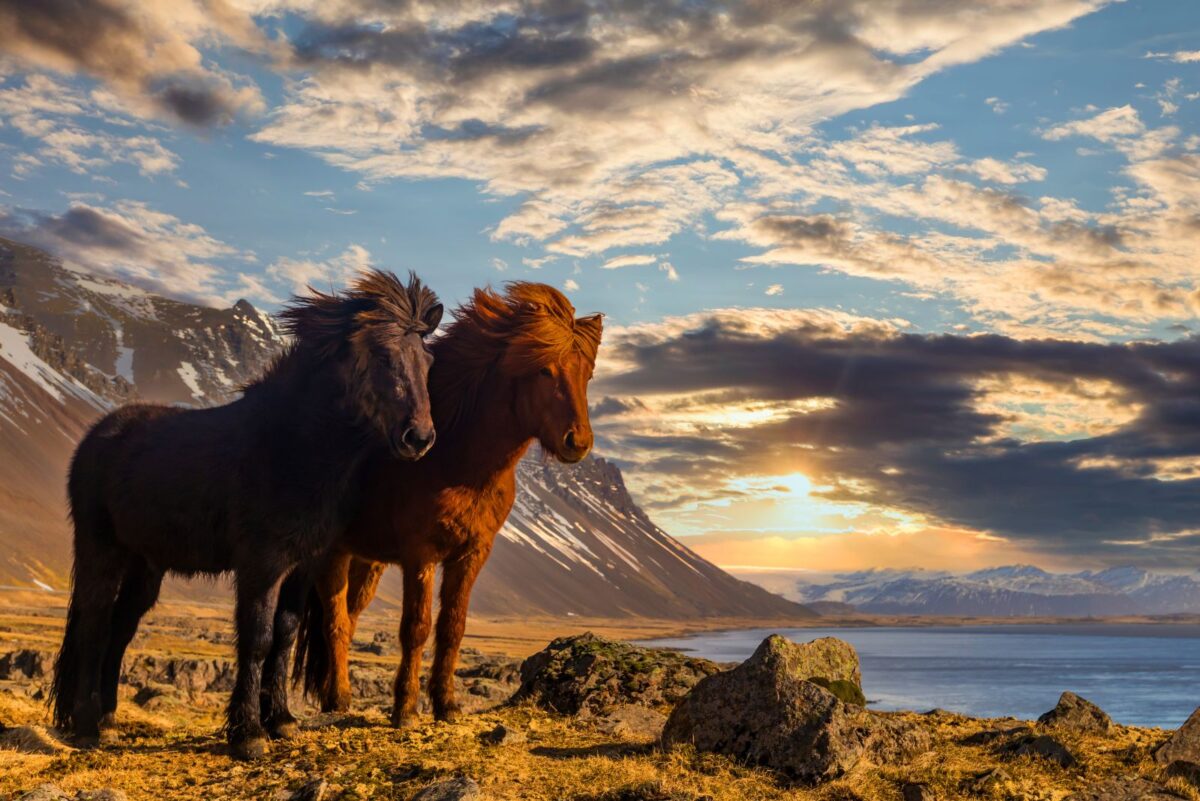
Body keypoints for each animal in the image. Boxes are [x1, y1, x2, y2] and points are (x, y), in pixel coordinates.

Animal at [50, 270, 443, 760]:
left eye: (427, 361)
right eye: (383, 356)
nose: (419, 438)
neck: (293, 447)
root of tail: (96, 438)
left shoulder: (304, 564)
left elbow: (285, 635)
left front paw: (283, 720)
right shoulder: (262, 564)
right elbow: (257, 639)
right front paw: (249, 733)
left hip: (146, 565)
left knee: (120, 629)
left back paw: (107, 721)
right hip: (100, 548)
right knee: (95, 623)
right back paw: (87, 725)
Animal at [292, 282, 602, 725]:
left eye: (587, 374)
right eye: (544, 370)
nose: (578, 442)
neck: (458, 461)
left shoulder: (472, 553)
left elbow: (453, 626)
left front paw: (447, 704)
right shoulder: (420, 554)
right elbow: (416, 628)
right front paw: (405, 709)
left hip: (367, 561)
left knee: (348, 618)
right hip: (332, 553)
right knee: (333, 621)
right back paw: (338, 697)